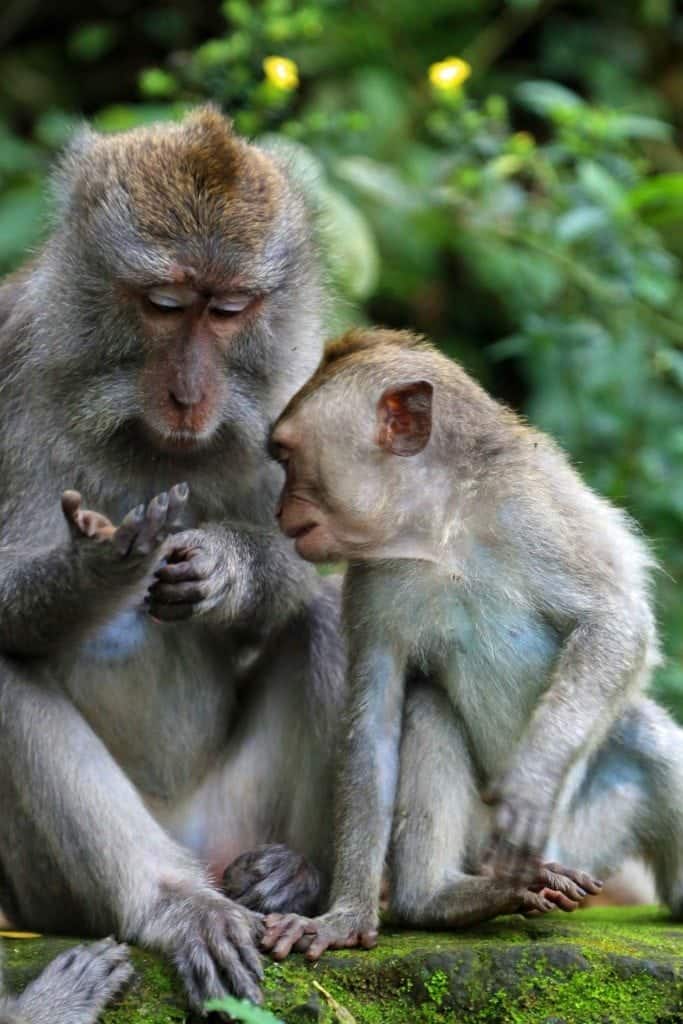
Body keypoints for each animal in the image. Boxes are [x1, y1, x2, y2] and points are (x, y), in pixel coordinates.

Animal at [0, 106, 353, 1012]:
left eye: (228, 309)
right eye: (163, 305)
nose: (190, 395)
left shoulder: (301, 389)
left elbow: (314, 571)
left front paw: (225, 567)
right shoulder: (8, 370)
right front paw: (100, 567)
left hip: (238, 812)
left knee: (332, 617)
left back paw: (299, 880)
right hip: (48, 894)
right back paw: (174, 905)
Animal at [261, 326, 683, 960]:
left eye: (288, 457)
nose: (280, 510)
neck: (438, 528)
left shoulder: (531, 512)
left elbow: (615, 623)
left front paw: (531, 784)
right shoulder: (370, 586)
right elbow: (375, 725)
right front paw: (345, 917)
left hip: (582, 836)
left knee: (653, 739)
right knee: (428, 707)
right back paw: (444, 899)